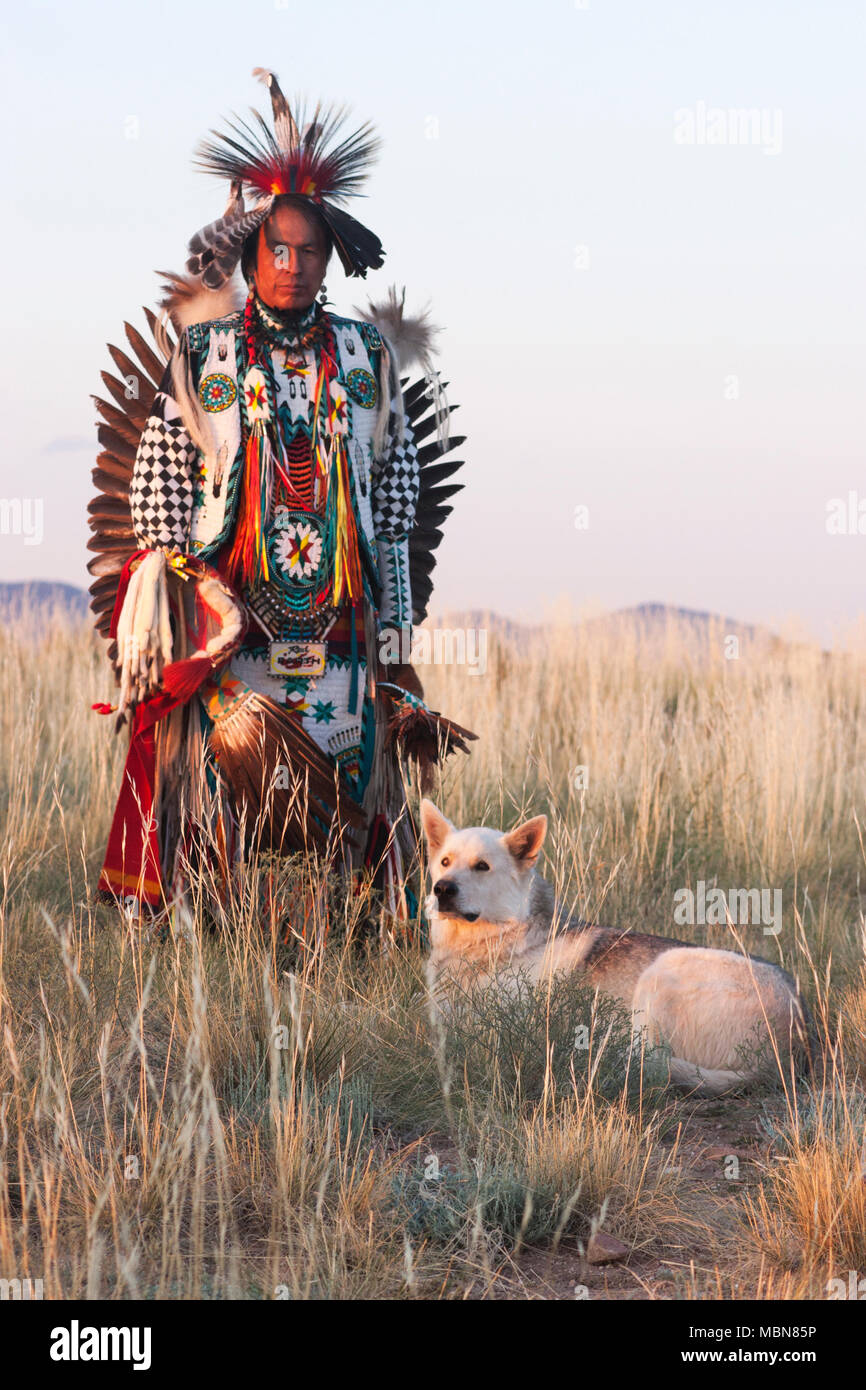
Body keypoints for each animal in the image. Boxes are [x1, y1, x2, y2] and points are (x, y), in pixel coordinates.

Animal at [420, 801, 814, 1096]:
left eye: (482, 866)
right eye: (444, 862)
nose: (442, 889)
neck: (494, 938)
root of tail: (793, 1049)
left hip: (659, 975)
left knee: (647, 1061)